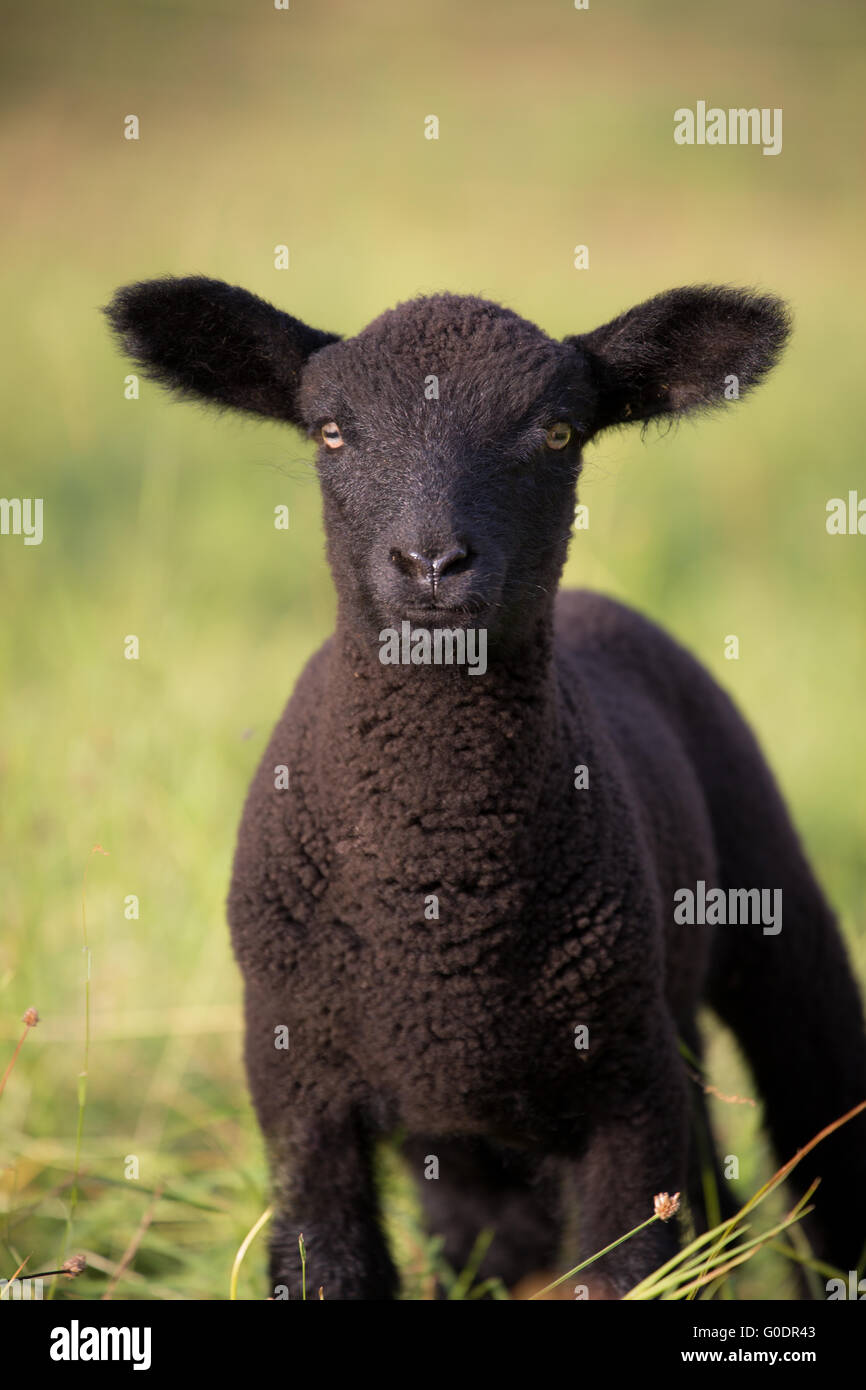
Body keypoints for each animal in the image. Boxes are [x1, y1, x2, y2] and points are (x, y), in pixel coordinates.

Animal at [106, 277, 866, 1300]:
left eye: (558, 432)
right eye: (331, 432)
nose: (431, 564)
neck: (439, 906)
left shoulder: (625, 1086)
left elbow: (629, 1266)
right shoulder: (297, 1080)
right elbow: (328, 1263)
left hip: (764, 901)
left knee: (818, 1104)